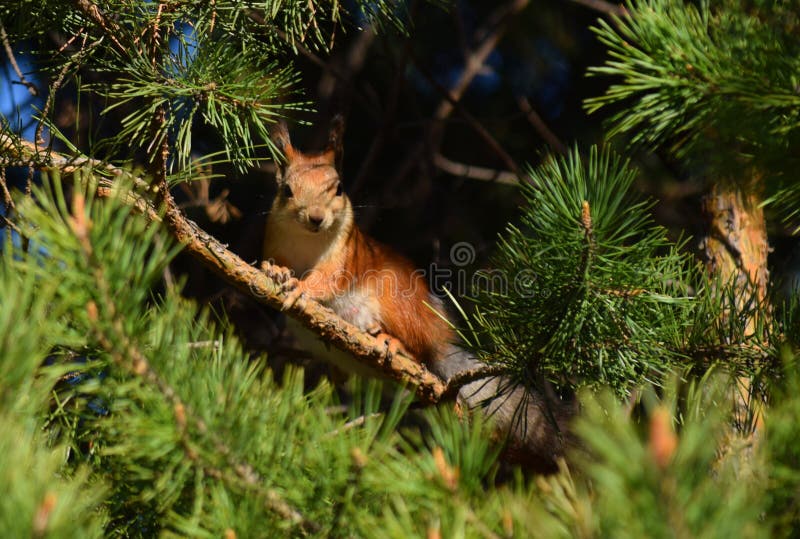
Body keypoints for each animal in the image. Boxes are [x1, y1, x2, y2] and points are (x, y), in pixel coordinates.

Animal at [262, 116, 572, 471]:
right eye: (286, 190)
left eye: (338, 188)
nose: (316, 218)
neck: (308, 241)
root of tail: (440, 340)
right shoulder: (274, 240)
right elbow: (273, 259)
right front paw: (276, 272)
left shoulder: (346, 254)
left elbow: (329, 280)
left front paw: (301, 288)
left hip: (398, 302)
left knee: (420, 352)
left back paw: (391, 343)